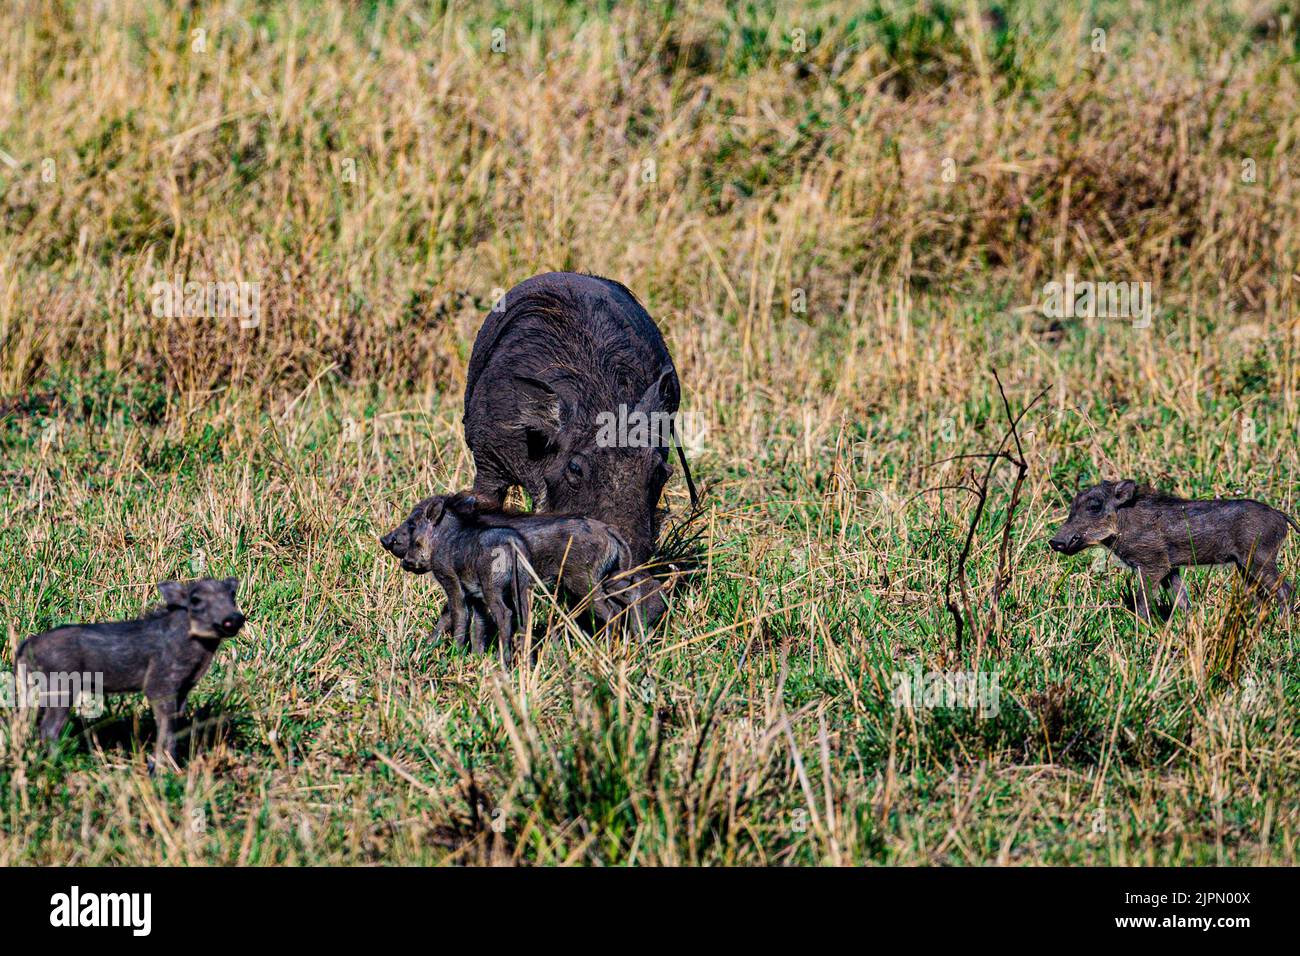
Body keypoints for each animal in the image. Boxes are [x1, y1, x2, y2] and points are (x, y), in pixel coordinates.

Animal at [16, 578, 245, 767]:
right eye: (195, 599)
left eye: (232, 595)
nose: (234, 619)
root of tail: (27, 645)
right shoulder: (159, 686)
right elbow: (165, 727)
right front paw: (160, 772)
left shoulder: (182, 689)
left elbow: (175, 726)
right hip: (62, 690)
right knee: (49, 728)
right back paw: (60, 764)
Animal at [1049, 480, 1299, 620]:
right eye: (1073, 505)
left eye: (1094, 506)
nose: (1055, 542)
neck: (1124, 522)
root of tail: (1280, 515)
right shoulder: (1170, 569)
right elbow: (1182, 601)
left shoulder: (1152, 565)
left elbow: (1143, 601)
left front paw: (1143, 631)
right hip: (1244, 566)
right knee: (1260, 599)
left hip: (1260, 560)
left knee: (1285, 591)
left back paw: (1282, 627)